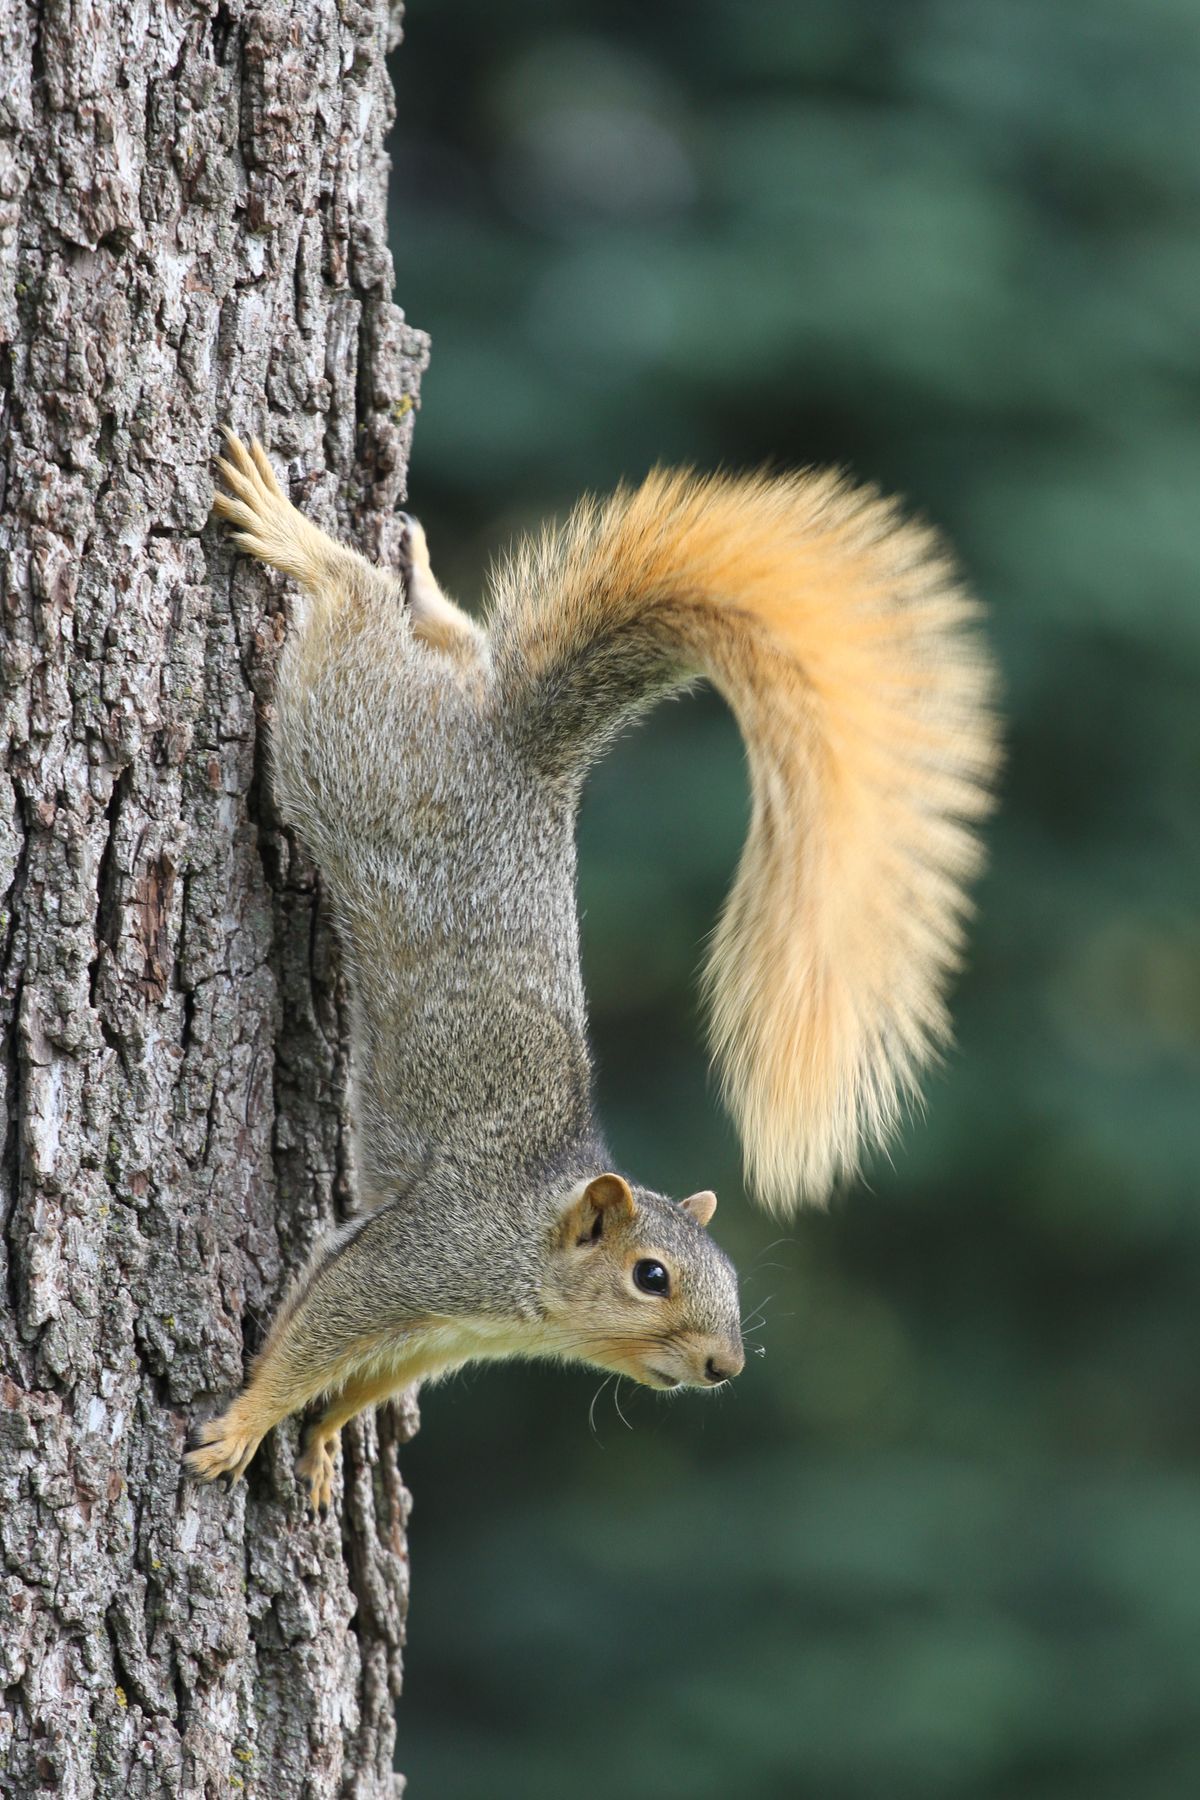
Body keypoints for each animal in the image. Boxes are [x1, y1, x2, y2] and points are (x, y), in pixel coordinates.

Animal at [186, 430, 997, 1510]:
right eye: (651, 1276)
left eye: (730, 1280)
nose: (726, 1367)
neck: (529, 1276)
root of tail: (524, 754)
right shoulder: (420, 1261)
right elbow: (316, 1331)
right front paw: (245, 1425)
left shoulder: (446, 1333)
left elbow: (369, 1380)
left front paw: (324, 1437)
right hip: (354, 748)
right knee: (355, 612)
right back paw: (302, 542)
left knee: (456, 642)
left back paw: (426, 578)